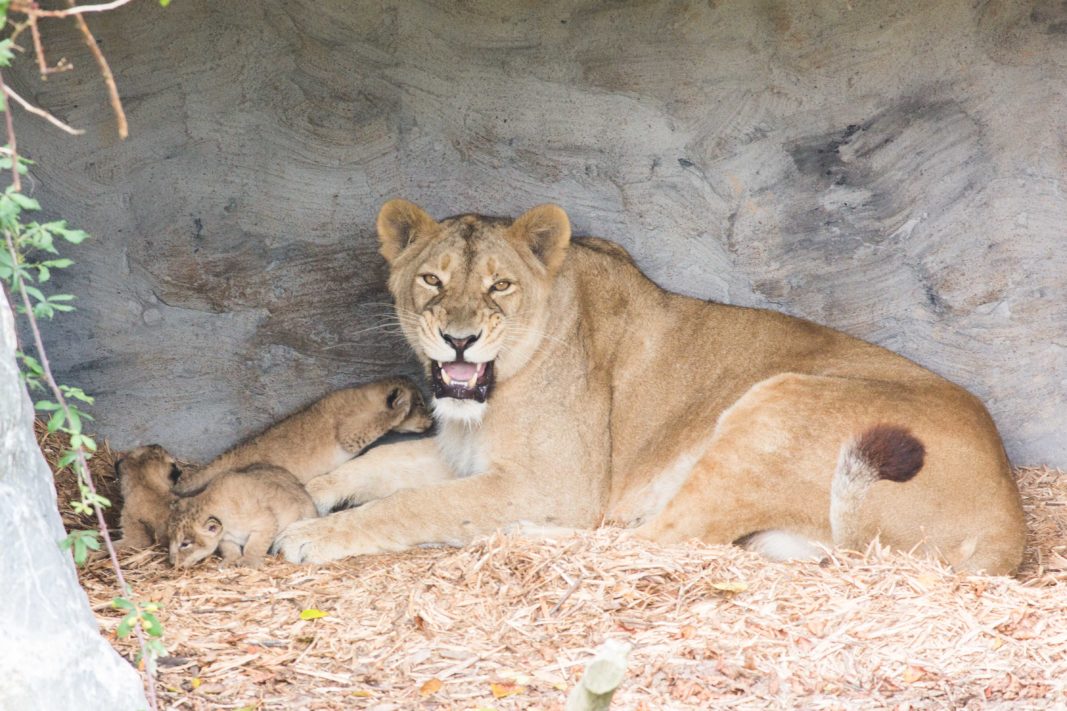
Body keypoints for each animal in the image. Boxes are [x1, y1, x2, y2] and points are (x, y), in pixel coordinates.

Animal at [276, 200, 1026, 575]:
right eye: (431, 280)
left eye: (499, 285)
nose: (458, 339)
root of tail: (1010, 521)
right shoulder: (463, 451)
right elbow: (377, 466)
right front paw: (293, 494)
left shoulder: (555, 482)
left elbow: (414, 505)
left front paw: (309, 535)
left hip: (775, 406)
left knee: (654, 538)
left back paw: (521, 534)